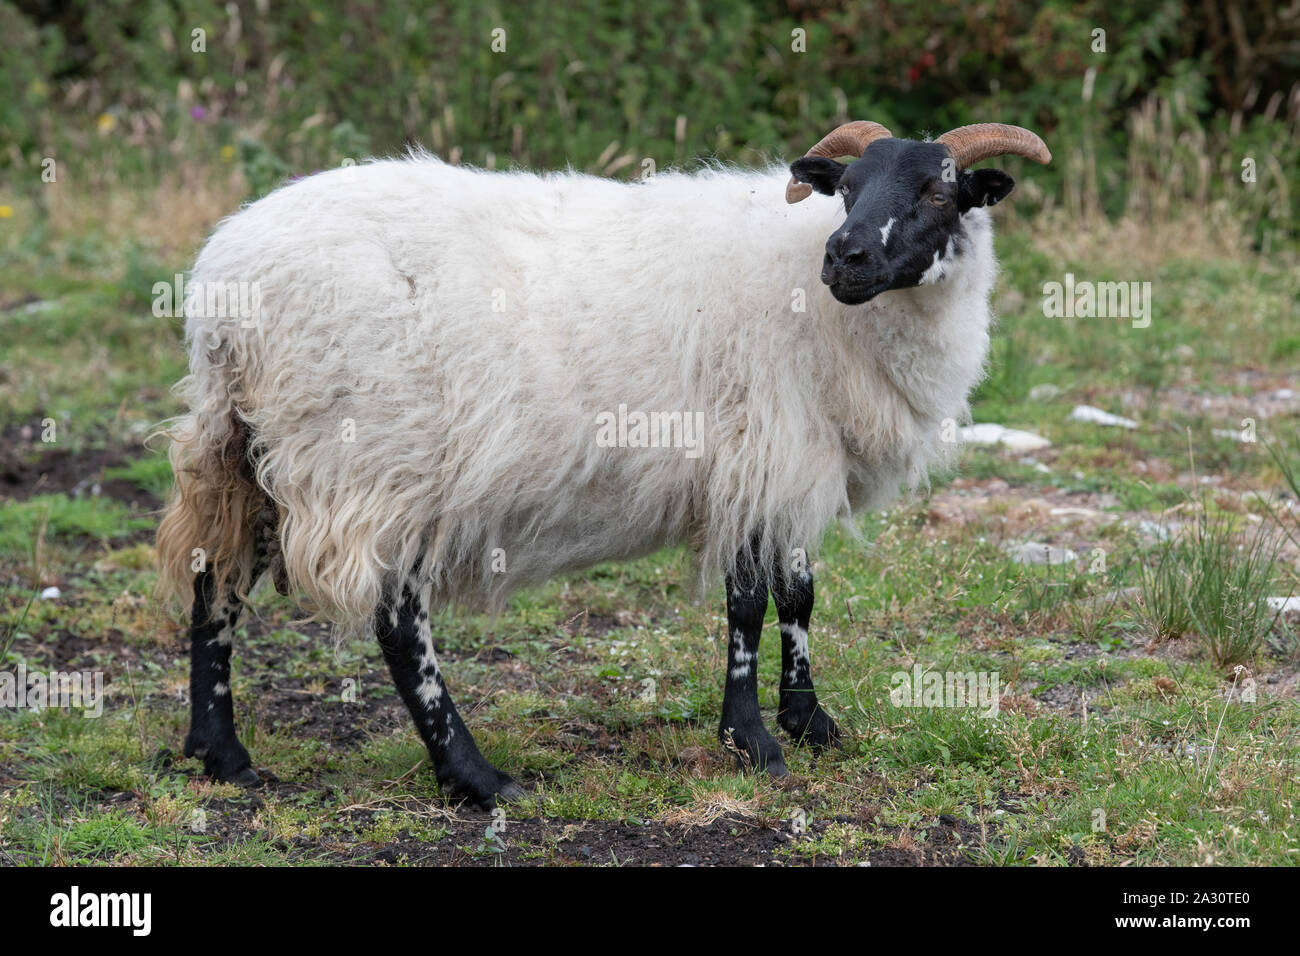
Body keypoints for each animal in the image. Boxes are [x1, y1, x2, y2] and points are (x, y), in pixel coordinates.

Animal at [157, 121, 1050, 807]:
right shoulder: (762, 450)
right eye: (848, 187)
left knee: (214, 582)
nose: (845, 258)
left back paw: (219, 754)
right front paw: (755, 741)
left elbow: (799, 594)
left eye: (938, 191)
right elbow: (751, 603)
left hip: (248, 449)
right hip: (374, 453)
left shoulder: (794, 461)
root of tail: (224, 287)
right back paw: (475, 778)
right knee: (396, 622)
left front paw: (812, 723)